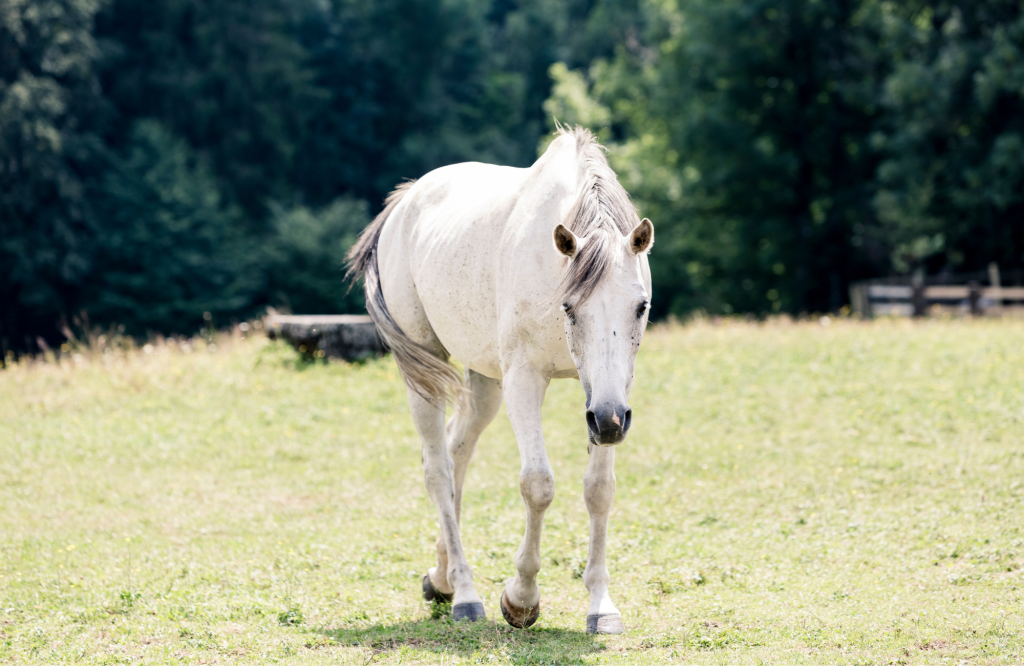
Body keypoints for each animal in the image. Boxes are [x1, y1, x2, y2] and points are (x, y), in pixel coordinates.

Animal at [345, 126, 654, 634]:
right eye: (569, 306)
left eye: (640, 306)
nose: (610, 421)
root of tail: (407, 199)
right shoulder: (525, 380)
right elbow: (538, 484)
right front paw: (522, 598)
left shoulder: (609, 397)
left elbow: (599, 490)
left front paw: (601, 605)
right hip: (427, 370)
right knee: (438, 469)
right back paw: (466, 596)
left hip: (485, 382)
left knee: (458, 454)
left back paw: (442, 579)